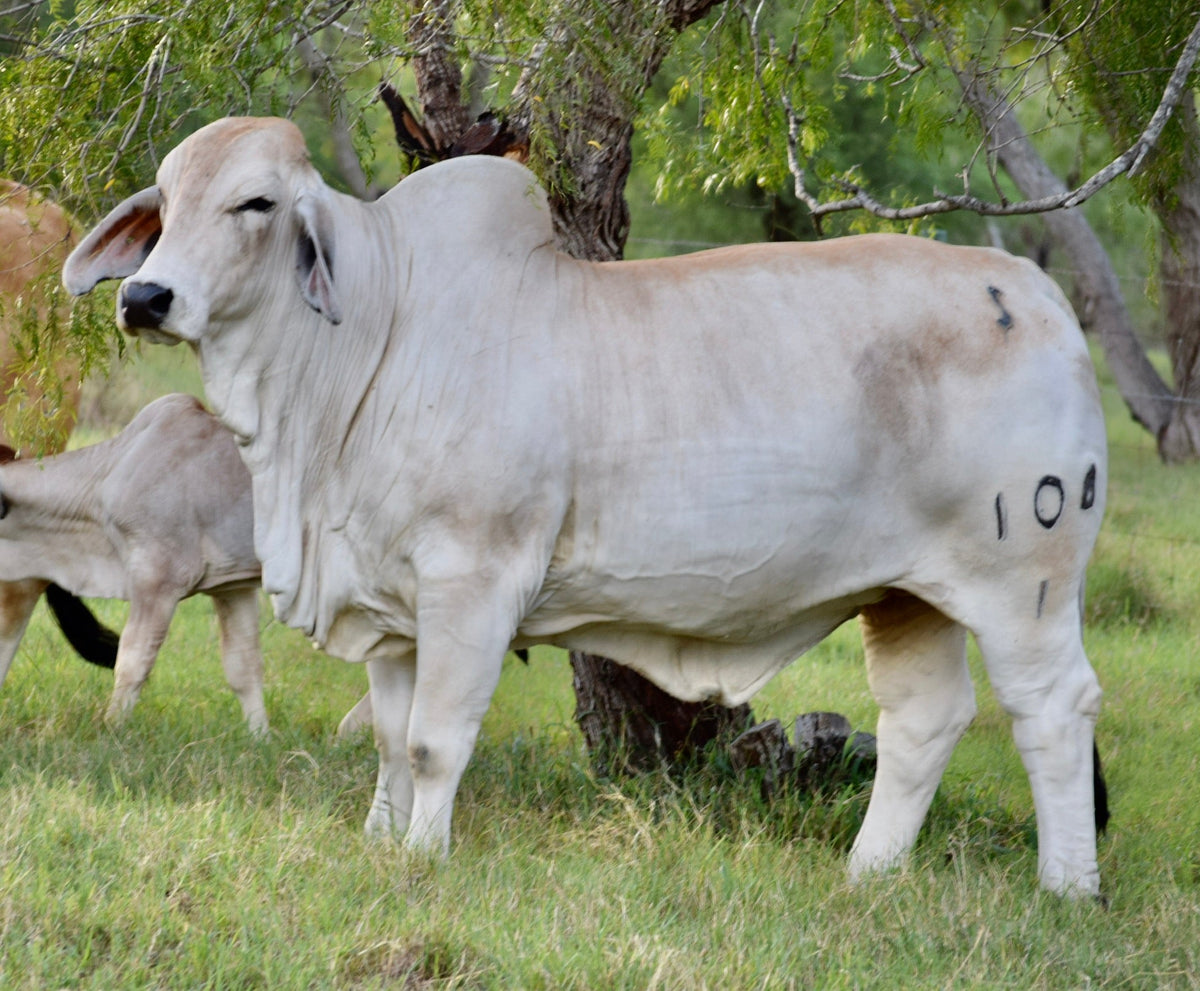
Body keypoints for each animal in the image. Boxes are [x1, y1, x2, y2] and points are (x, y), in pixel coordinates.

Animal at [0, 392, 267, 733]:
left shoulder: (158, 579)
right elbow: (244, 667)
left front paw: (111, 730)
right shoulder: (232, 588)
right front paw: (261, 737)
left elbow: (131, 663)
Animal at [63, 116, 1108, 897]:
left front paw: (423, 855)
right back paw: (868, 872)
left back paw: (1067, 886)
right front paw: (378, 841)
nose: (147, 296)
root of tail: (1039, 297)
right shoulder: (390, 607)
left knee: (1052, 710)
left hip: (1024, 578)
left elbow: (434, 742)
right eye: (165, 205)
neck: (368, 341)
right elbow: (391, 743)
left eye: (256, 202)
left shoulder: (472, 579)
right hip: (909, 594)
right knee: (923, 720)